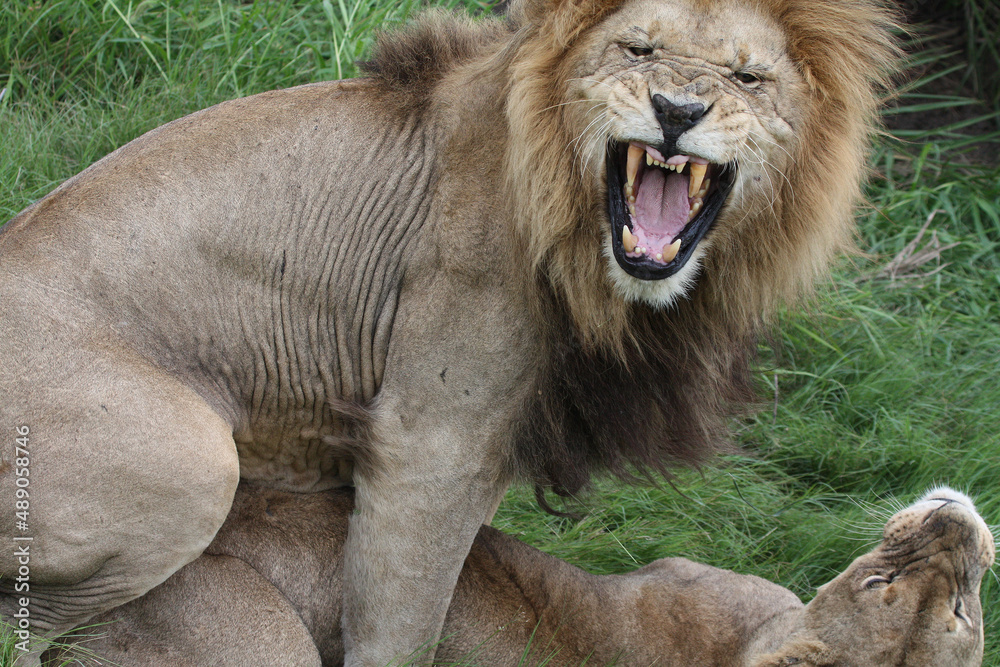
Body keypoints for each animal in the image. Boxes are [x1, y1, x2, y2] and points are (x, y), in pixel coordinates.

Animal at [0, 0, 898, 662]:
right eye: (639, 49)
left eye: (749, 76)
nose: (677, 111)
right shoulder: (429, 437)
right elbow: (403, 616)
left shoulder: (488, 445)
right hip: (196, 463)